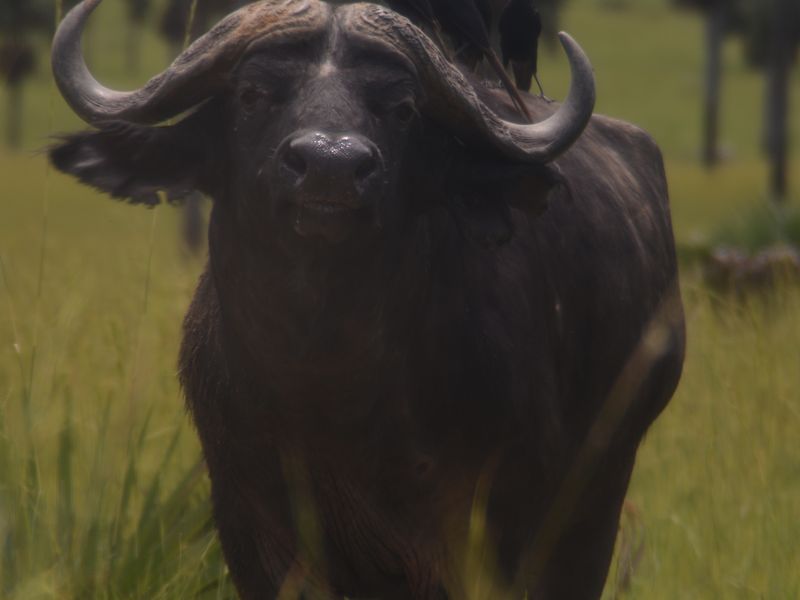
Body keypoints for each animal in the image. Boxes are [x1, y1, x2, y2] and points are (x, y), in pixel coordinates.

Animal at [49, 0, 685, 598]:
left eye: (401, 108)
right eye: (252, 94)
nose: (330, 166)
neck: (327, 386)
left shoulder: (494, 532)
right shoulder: (249, 526)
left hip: (600, 492)